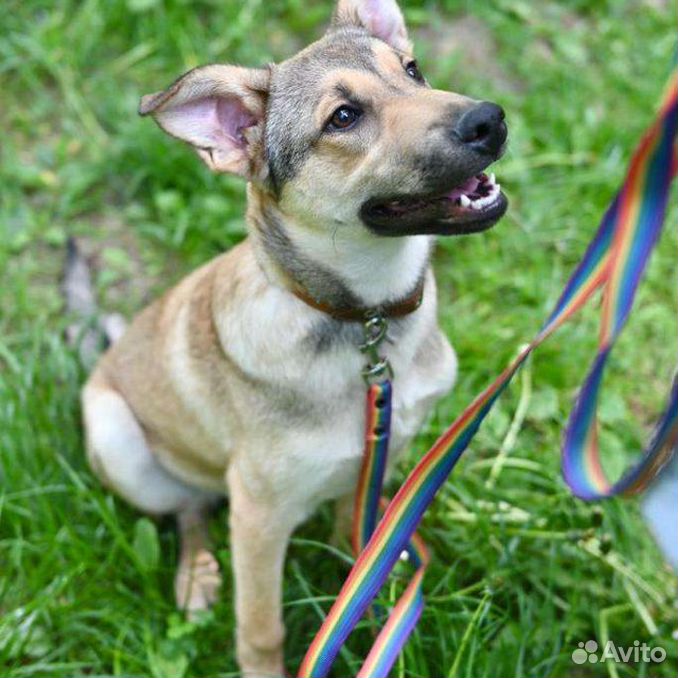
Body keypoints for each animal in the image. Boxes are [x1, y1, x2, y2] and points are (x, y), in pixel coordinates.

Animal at [79, 2, 508, 676]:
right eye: (343, 117)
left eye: (412, 69)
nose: (490, 120)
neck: (367, 321)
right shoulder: (258, 516)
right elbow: (262, 627)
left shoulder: (383, 455)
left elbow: (359, 539)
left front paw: (365, 590)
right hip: (118, 438)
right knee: (188, 509)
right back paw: (196, 575)